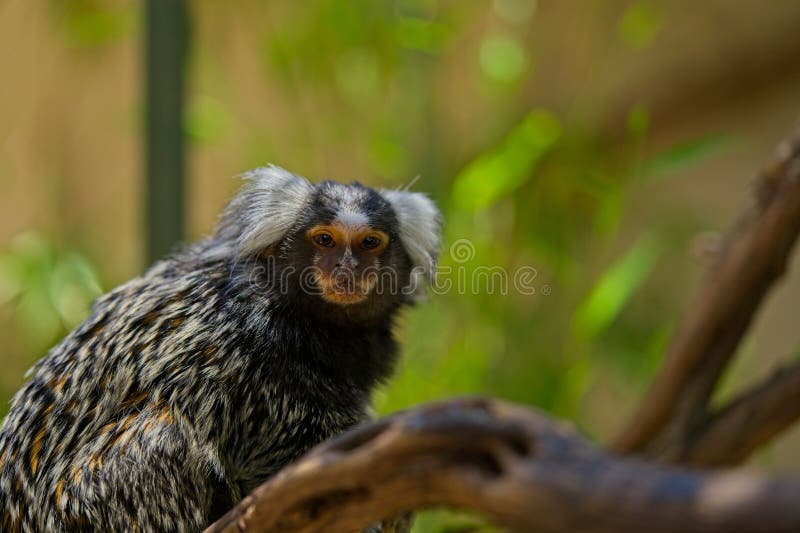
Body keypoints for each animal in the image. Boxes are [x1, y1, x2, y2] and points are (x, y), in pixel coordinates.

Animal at [0, 166, 441, 532]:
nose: (347, 270)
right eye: (324, 240)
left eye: (370, 243)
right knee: (162, 433)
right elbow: (285, 447)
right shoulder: (250, 362)